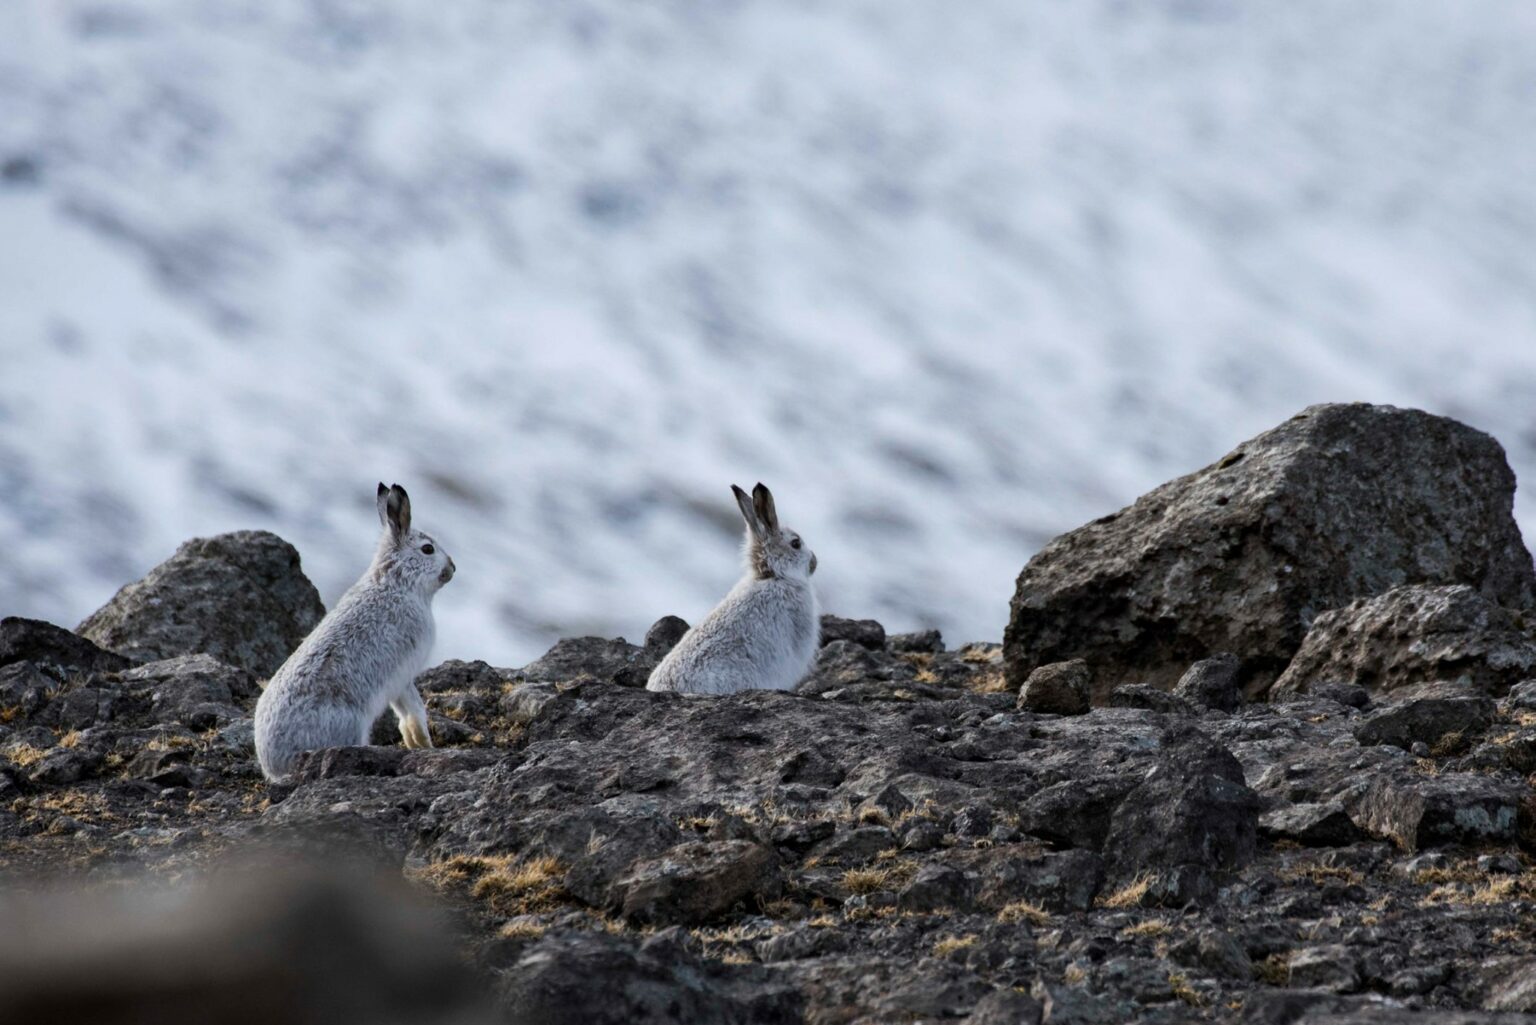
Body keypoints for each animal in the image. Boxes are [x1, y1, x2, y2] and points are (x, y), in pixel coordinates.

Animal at [254, 482, 456, 781]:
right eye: (428, 549)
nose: (452, 568)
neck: (397, 583)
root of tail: (275, 766)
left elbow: (404, 716)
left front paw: (413, 743)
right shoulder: (404, 673)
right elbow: (415, 710)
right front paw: (426, 744)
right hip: (350, 725)